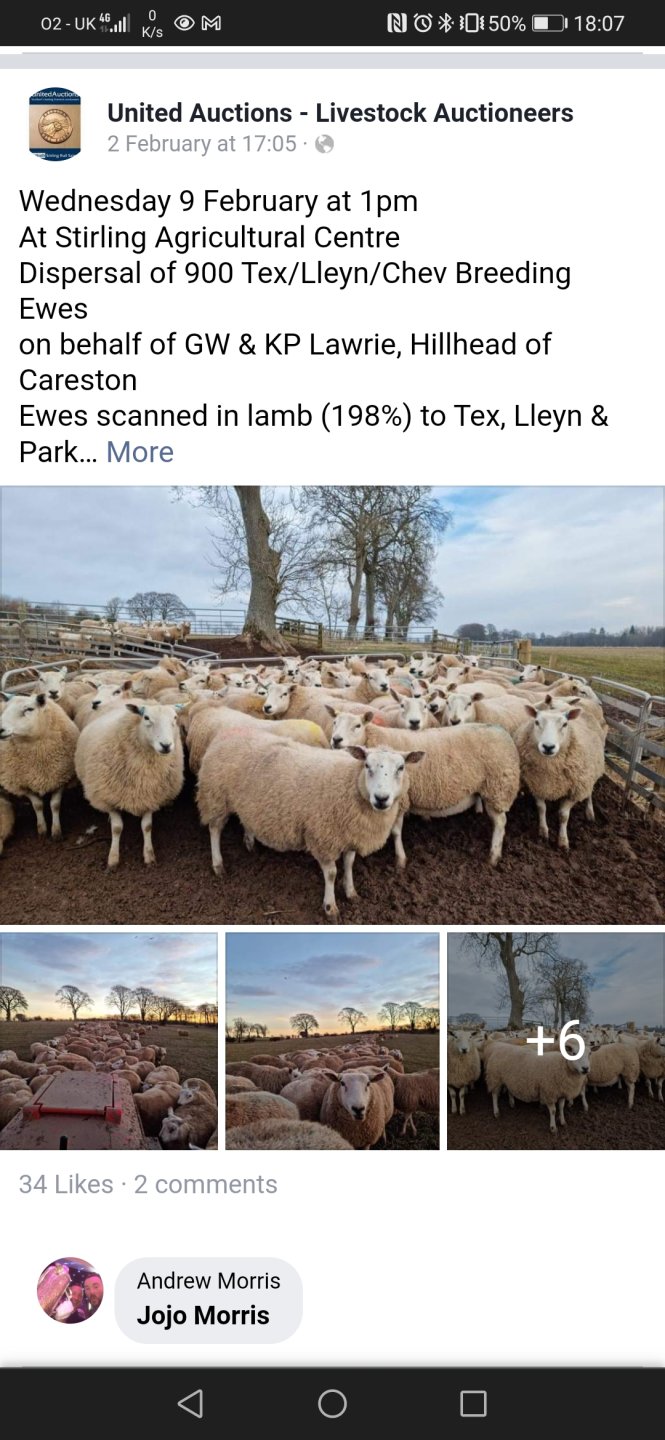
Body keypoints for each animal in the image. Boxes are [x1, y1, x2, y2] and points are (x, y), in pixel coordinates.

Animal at [0, 692, 78, 839]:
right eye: (4, 710)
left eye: (29, 709)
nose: (0, 729)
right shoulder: (23, 784)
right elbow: (37, 805)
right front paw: (42, 829)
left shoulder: (61, 778)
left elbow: (55, 805)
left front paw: (56, 831)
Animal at [75, 699, 184, 867]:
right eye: (146, 718)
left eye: (175, 717)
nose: (166, 745)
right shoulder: (108, 798)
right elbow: (117, 828)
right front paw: (113, 858)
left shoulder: (150, 796)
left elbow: (147, 827)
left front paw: (149, 855)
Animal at [197, 729, 423, 919]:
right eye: (367, 765)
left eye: (401, 768)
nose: (381, 798)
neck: (350, 782)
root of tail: (225, 733)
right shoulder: (323, 836)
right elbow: (331, 873)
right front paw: (330, 907)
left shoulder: (349, 832)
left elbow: (349, 863)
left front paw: (351, 892)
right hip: (215, 797)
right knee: (214, 830)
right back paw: (218, 865)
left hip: (245, 801)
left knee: (245, 819)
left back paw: (250, 843)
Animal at [335, 719, 520, 867]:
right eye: (335, 721)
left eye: (357, 725)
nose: (335, 740)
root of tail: (501, 730)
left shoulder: (401, 800)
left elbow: (396, 832)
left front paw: (400, 861)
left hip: (498, 788)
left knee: (500, 822)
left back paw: (494, 856)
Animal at [515, 704, 606, 850]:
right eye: (537, 722)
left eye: (565, 724)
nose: (548, 747)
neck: (550, 771)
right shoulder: (537, 785)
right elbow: (541, 808)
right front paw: (543, 831)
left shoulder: (574, 791)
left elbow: (563, 816)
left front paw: (563, 841)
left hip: (590, 774)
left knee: (589, 793)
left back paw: (590, 812)